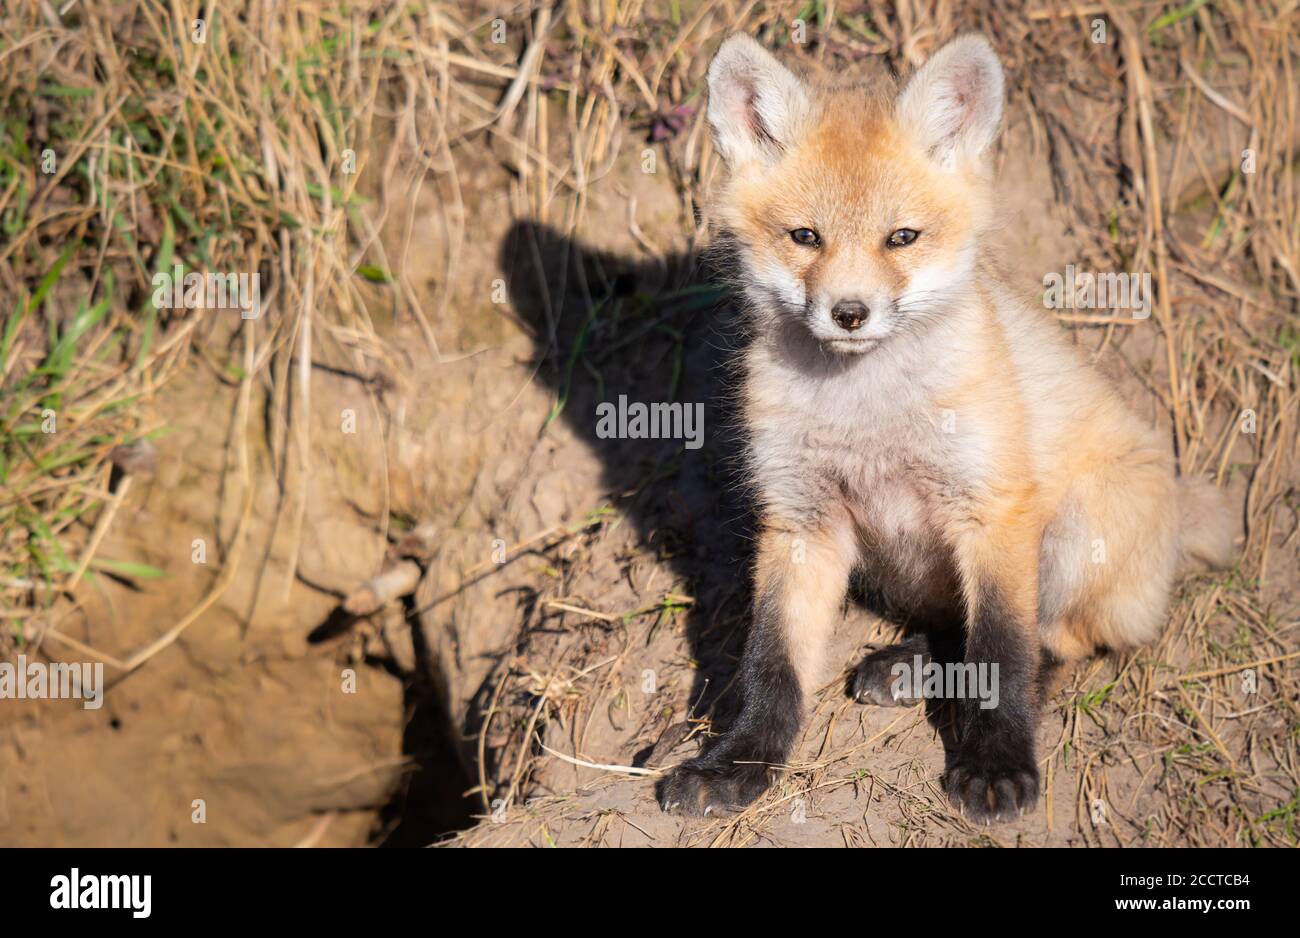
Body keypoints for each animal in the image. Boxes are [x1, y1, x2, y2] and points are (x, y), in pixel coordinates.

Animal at [658, 33, 1235, 822]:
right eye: (805, 236)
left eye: (901, 238)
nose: (849, 313)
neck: (868, 415)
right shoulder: (802, 520)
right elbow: (769, 662)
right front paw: (739, 761)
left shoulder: (990, 509)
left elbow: (1004, 652)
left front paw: (995, 763)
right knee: (957, 628)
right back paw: (911, 666)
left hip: (1072, 533)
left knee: (1050, 643)